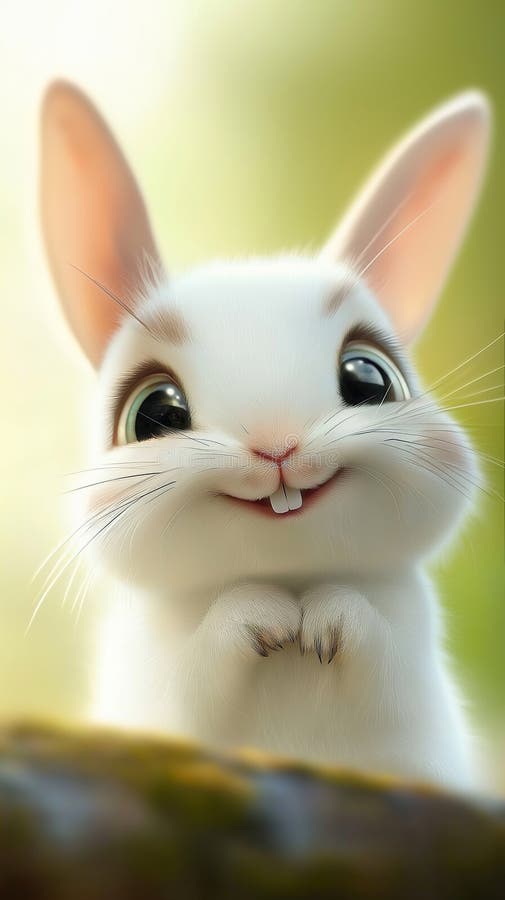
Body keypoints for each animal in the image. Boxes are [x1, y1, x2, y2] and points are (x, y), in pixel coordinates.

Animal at [39, 81, 491, 790]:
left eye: (369, 378)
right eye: (152, 413)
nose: (277, 445)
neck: (289, 574)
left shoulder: (412, 682)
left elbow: (379, 653)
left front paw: (324, 620)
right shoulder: (163, 697)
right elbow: (197, 676)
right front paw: (268, 617)